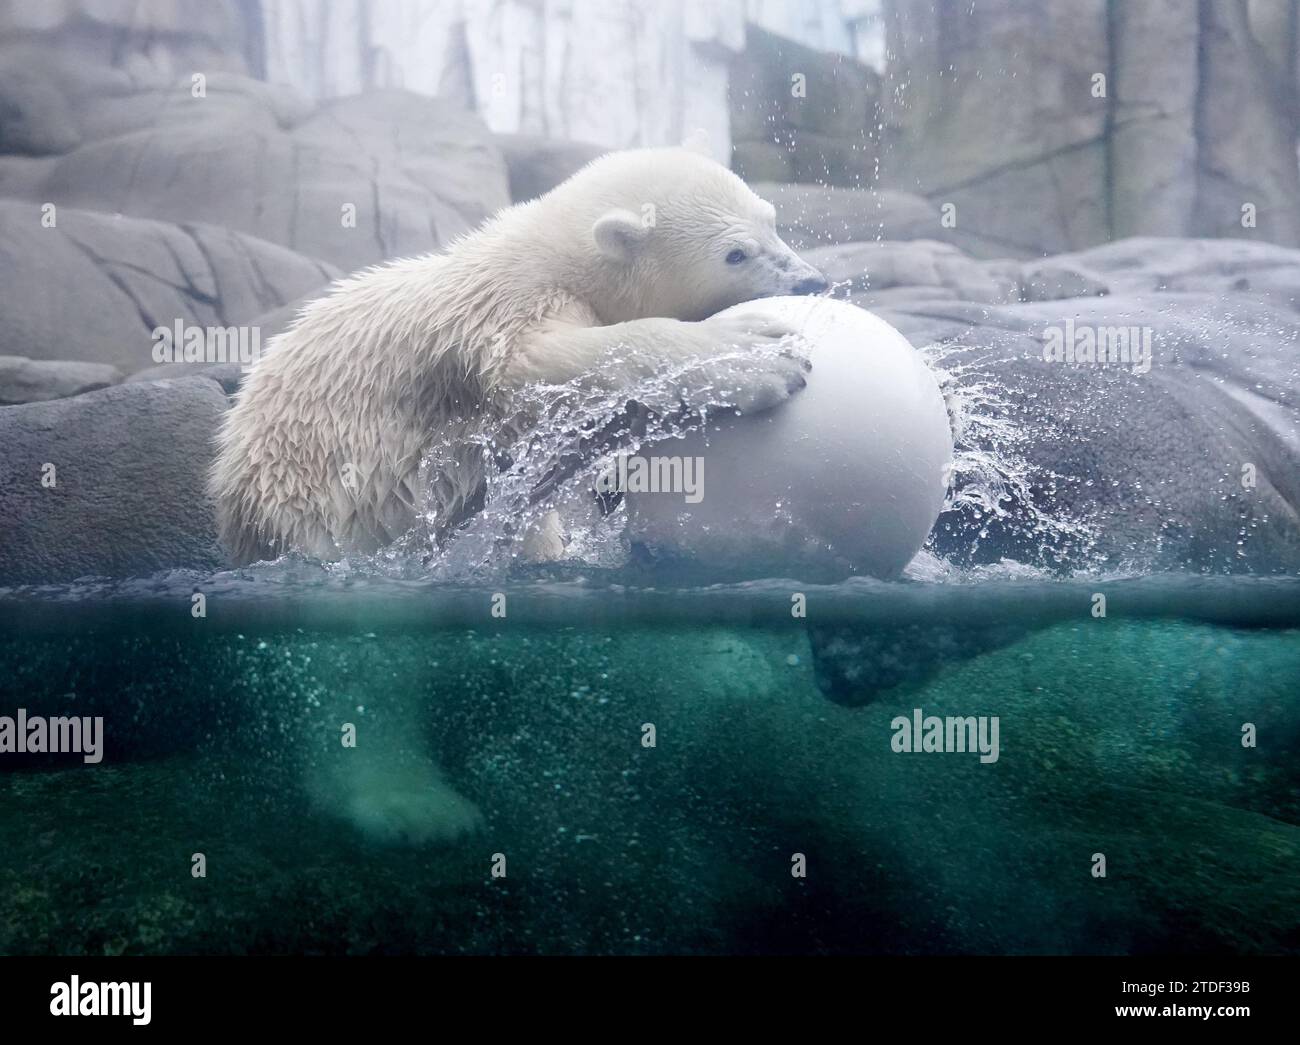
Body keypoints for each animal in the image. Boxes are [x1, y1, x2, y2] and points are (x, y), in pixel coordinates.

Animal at [209, 146, 828, 567]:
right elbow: (538, 360)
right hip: (307, 496)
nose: (813, 281)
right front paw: (761, 352)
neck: (545, 256)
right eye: (735, 254)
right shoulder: (498, 314)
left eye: (773, 220)